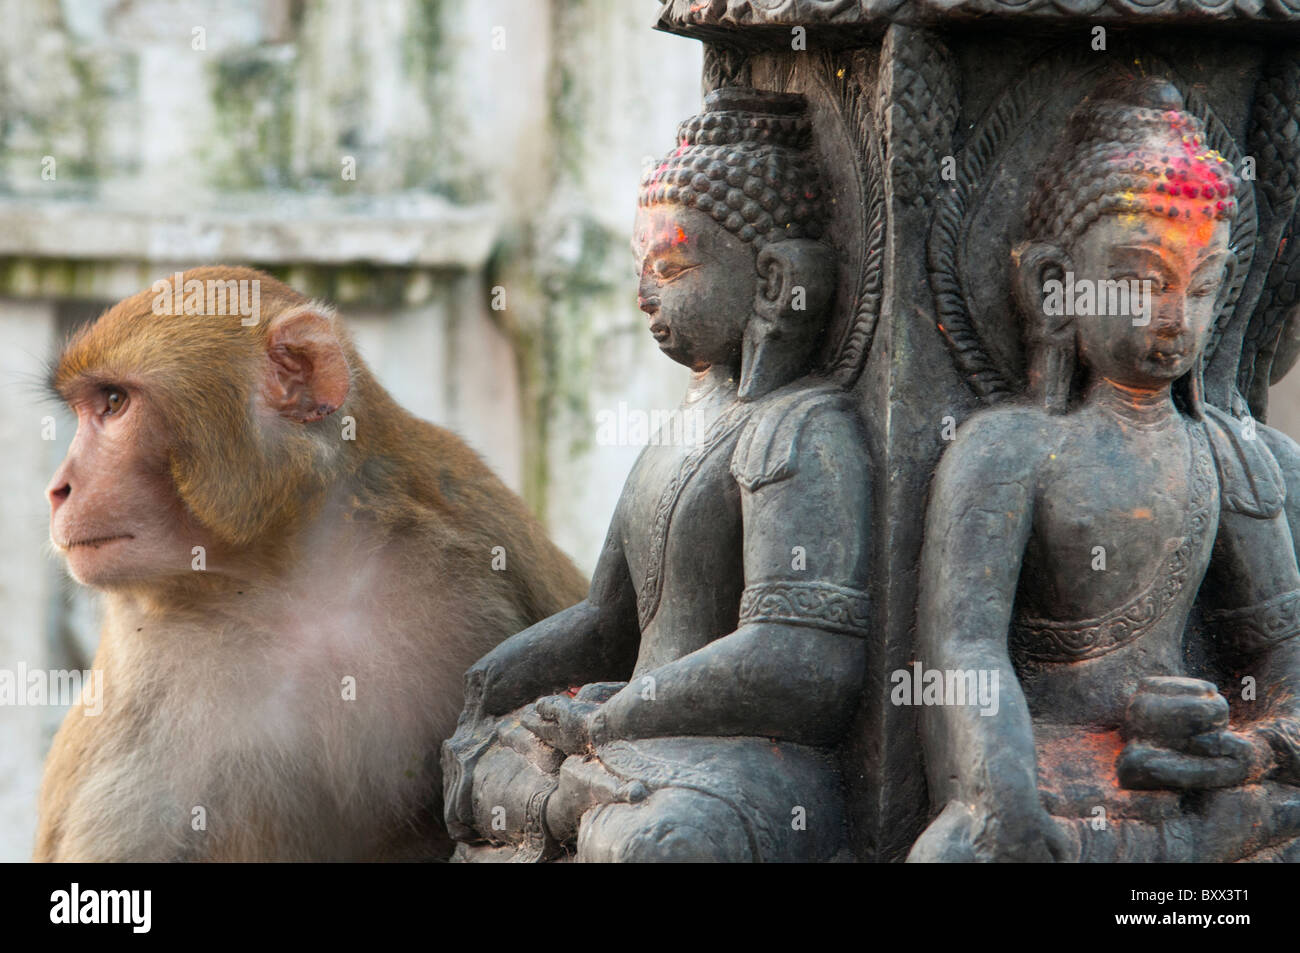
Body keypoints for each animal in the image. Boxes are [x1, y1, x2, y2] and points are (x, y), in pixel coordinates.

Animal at [34, 266, 587, 861]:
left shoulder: (472, 543)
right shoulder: (142, 680)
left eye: (114, 402)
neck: (282, 580)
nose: (57, 490)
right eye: (93, 405)